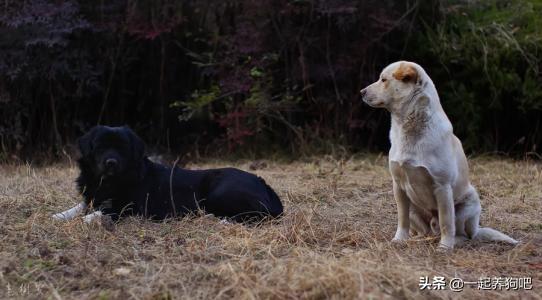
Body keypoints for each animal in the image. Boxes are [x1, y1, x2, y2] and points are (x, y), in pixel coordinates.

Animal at [53, 125, 284, 223]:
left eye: (123, 149)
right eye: (100, 147)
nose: (111, 162)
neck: (109, 181)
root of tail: (266, 186)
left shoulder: (132, 206)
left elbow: (105, 211)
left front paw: (88, 219)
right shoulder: (92, 196)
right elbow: (80, 205)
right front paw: (60, 215)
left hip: (220, 193)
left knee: (257, 215)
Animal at [362, 61, 520, 251]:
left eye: (384, 80)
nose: (361, 92)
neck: (409, 128)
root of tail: (477, 229)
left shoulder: (442, 187)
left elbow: (446, 222)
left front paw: (444, 247)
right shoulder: (398, 186)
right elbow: (402, 220)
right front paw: (399, 239)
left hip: (469, 202)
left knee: (463, 234)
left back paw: (453, 241)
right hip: (414, 208)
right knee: (424, 231)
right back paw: (419, 239)